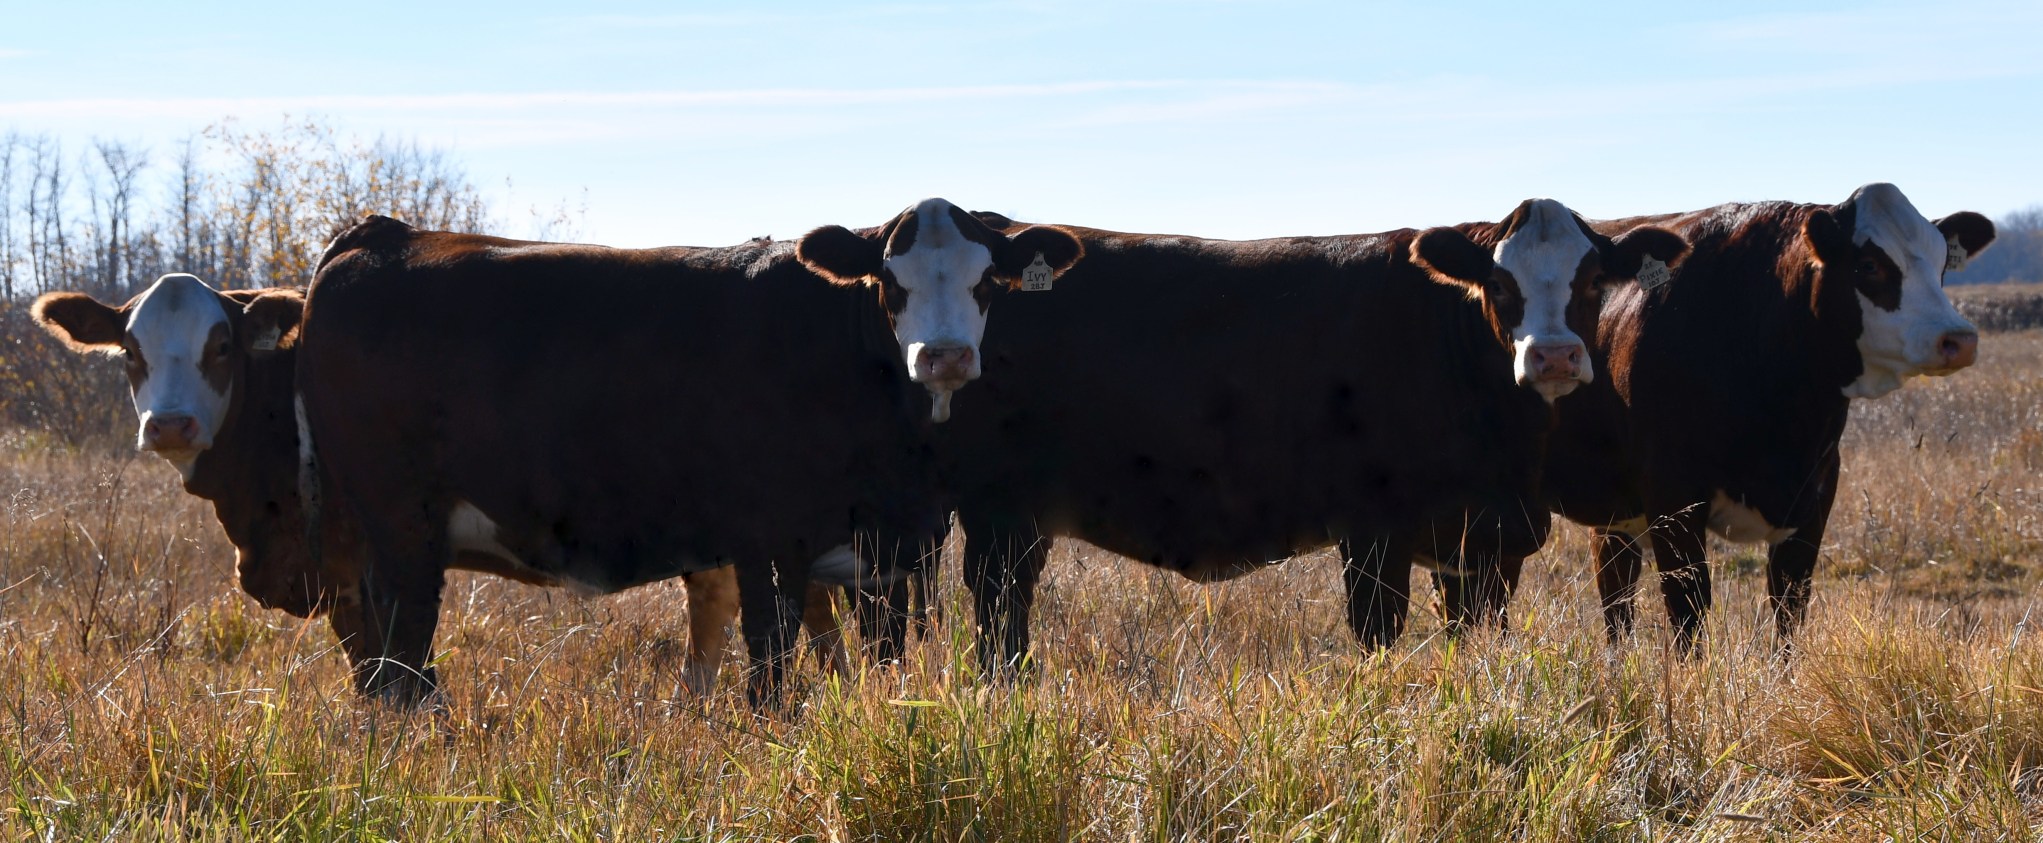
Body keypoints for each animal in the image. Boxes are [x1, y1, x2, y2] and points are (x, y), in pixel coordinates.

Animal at [297, 205, 1080, 704]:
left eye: (987, 281)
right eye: (891, 281)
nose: (943, 355)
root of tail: (382, 234)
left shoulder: (886, 553)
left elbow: (883, 663)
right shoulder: (769, 541)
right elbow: (770, 673)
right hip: (402, 524)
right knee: (402, 656)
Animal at [797, 200, 1687, 668]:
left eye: (1590, 281)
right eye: (1501, 284)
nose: (1553, 354)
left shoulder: (1483, 544)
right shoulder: (1373, 532)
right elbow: (1377, 638)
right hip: (981, 514)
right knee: (989, 621)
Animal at [1460, 183, 1993, 651]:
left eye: (1942, 264)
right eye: (1869, 264)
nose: (1959, 338)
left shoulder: (1814, 501)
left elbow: (1788, 612)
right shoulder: (1674, 503)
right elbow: (1688, 614)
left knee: (1604, 598)